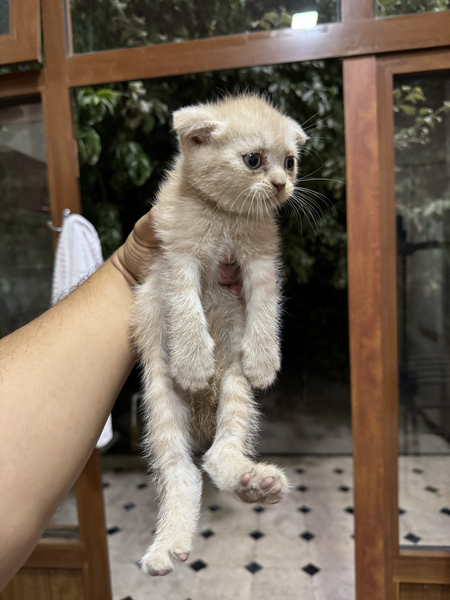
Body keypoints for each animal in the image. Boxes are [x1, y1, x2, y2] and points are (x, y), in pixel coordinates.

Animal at [129, 95, 306, 576]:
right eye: (253, 160)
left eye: (290, 161)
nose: (281, 184)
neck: (224, 215)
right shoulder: (175, 256)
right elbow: (184, 305)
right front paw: (192, 361)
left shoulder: (261, 260)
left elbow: (266, 307)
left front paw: (264, 357)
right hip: (158, 393)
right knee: (180, 469)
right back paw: (164, 549)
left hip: (234, 383)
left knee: (217, 453)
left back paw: (253, 482)